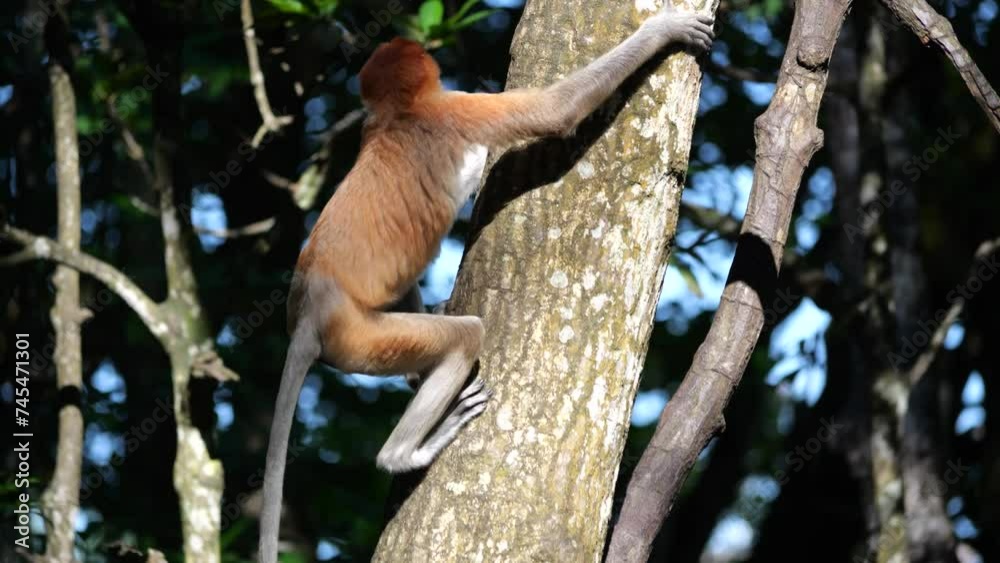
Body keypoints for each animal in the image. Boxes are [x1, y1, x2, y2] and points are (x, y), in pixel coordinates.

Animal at [259, 6, 713, 561]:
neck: (398, 114)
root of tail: (309, 311)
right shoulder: (456, 110)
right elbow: (554, 111)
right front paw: (664, 30)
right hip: (359, 338)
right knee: (465, 335)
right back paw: (406, 454)